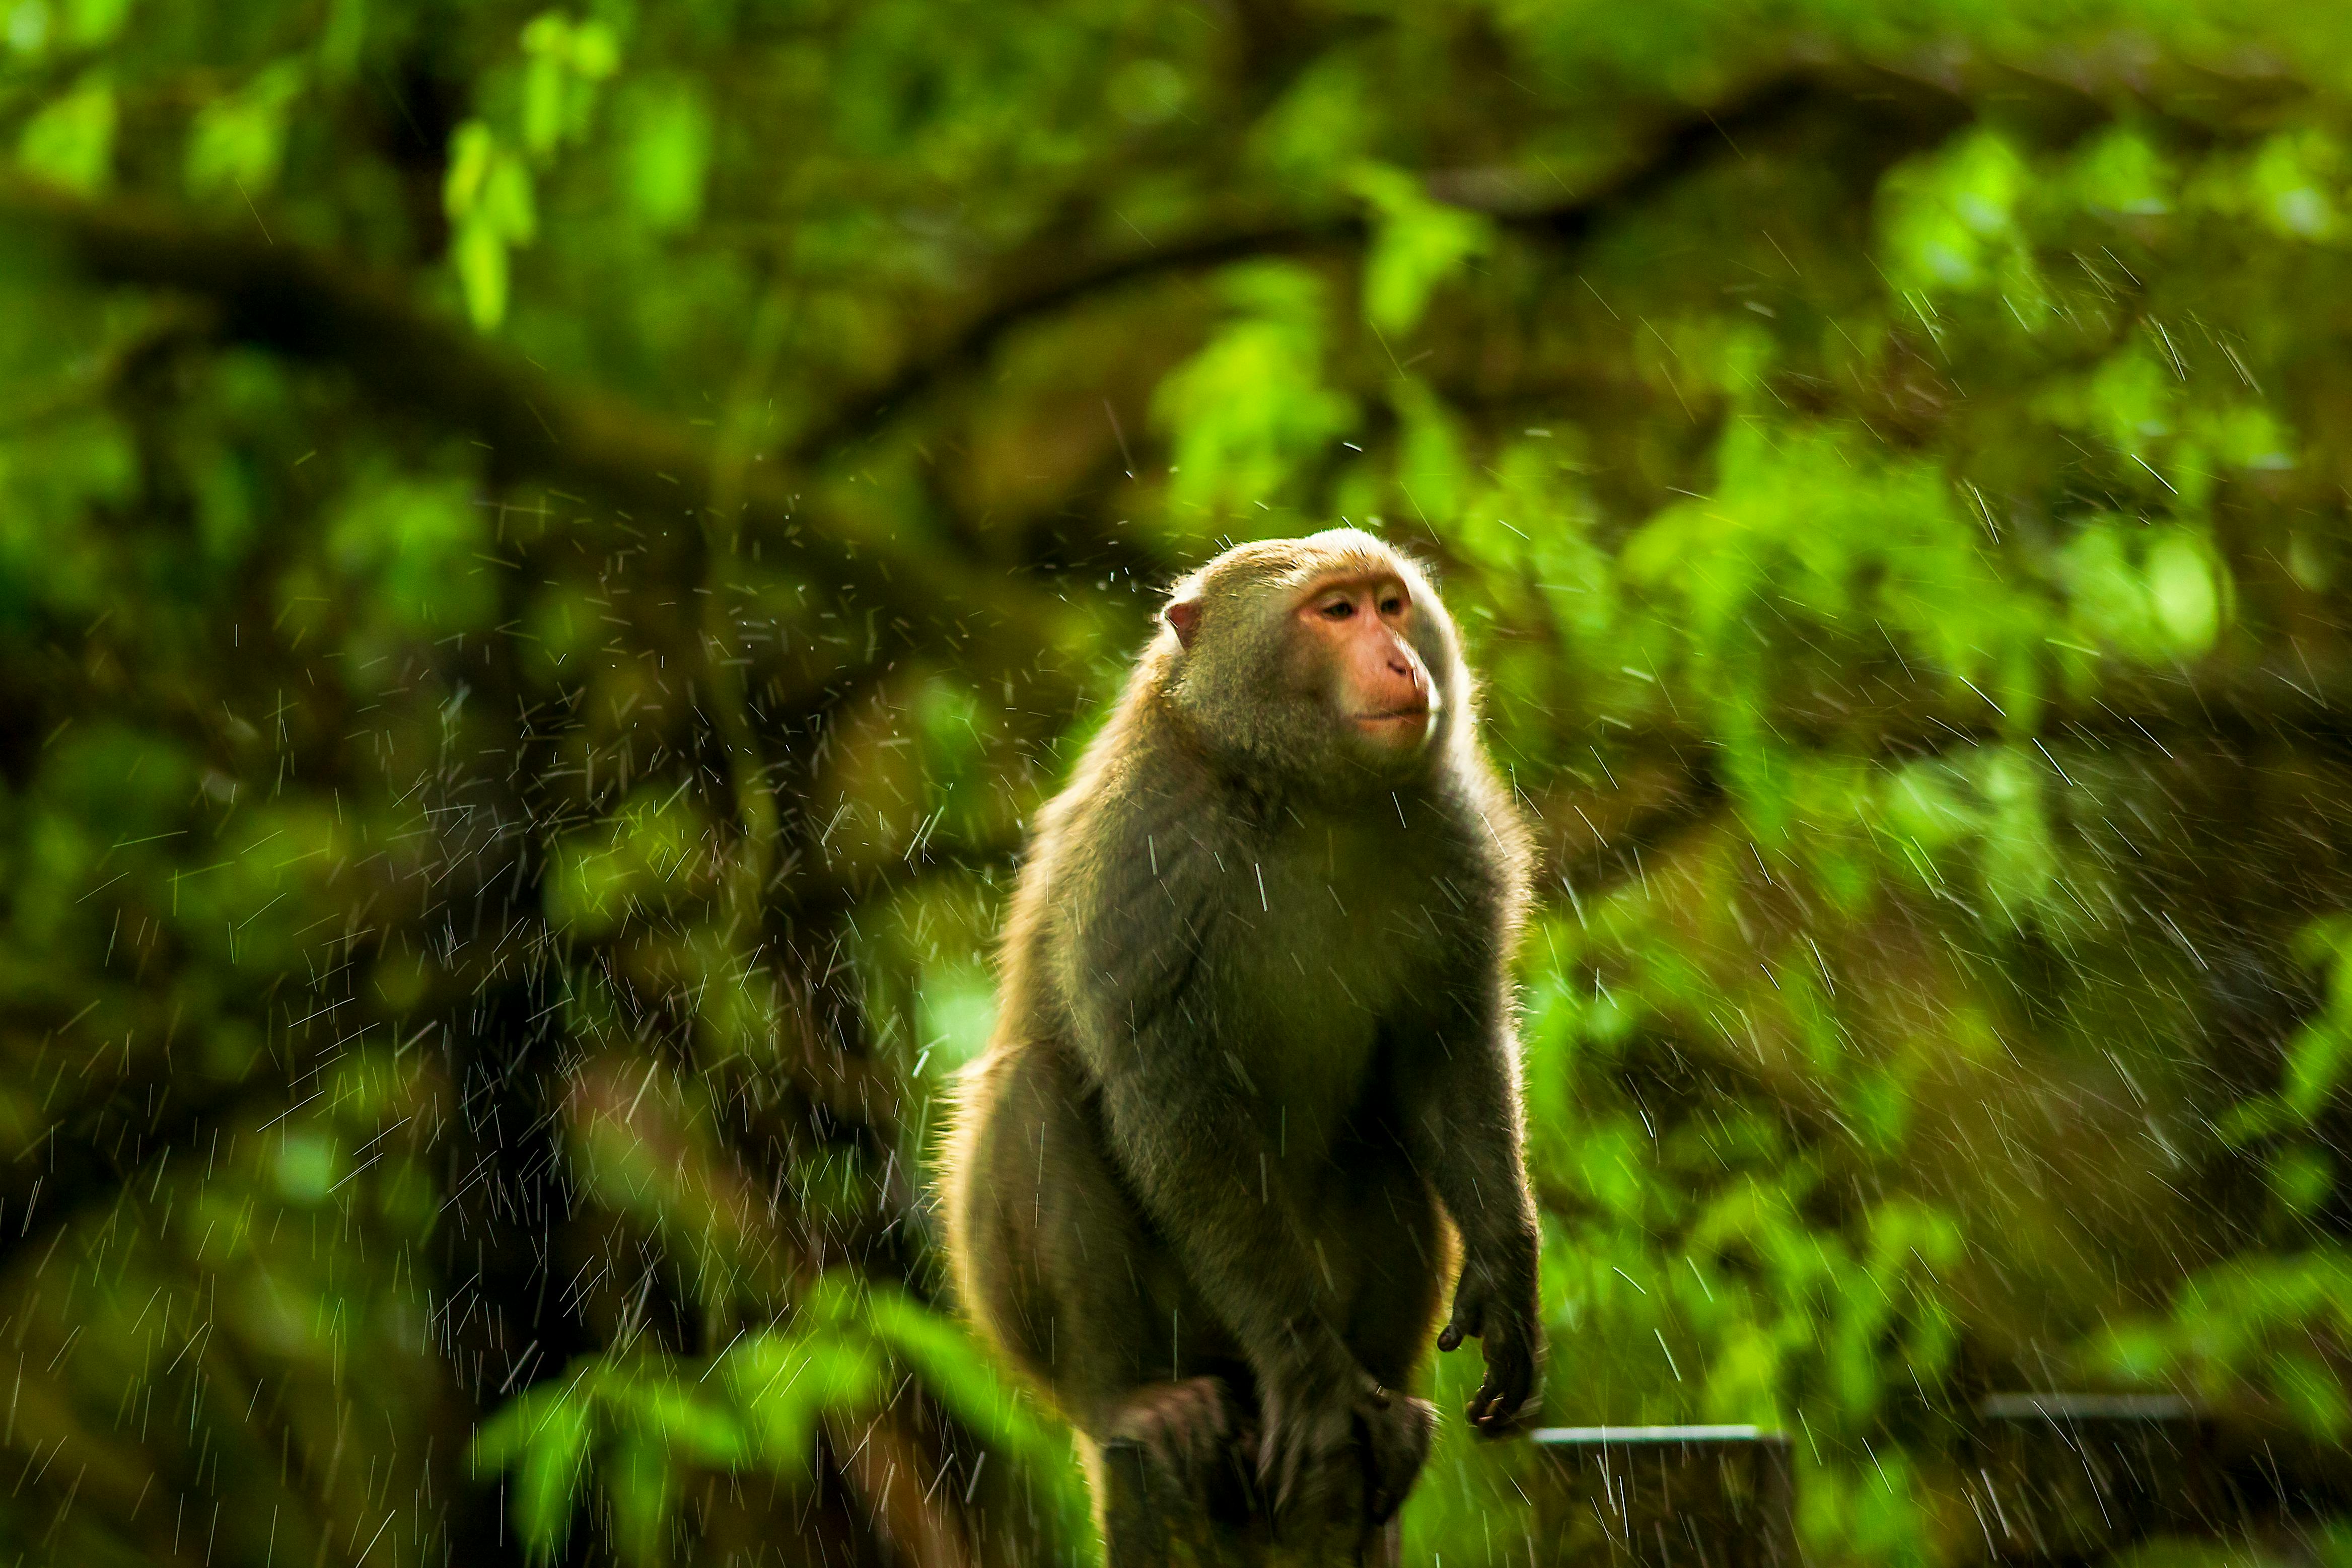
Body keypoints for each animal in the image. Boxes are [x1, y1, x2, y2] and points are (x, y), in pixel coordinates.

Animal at [942, 527, 1543, 1538]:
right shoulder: (1150, 851)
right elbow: (1167, 1097)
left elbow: (1444, 1049)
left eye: (1388, 603)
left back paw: (1390, 1408)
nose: (1401, 658)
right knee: (1034, 1095)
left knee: (1378, 1136)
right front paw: (1311, 1377)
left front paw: (1506, 1277)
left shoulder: (1450, 828)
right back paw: (1141, 1400)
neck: (1301, 794)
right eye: (1334, 612)